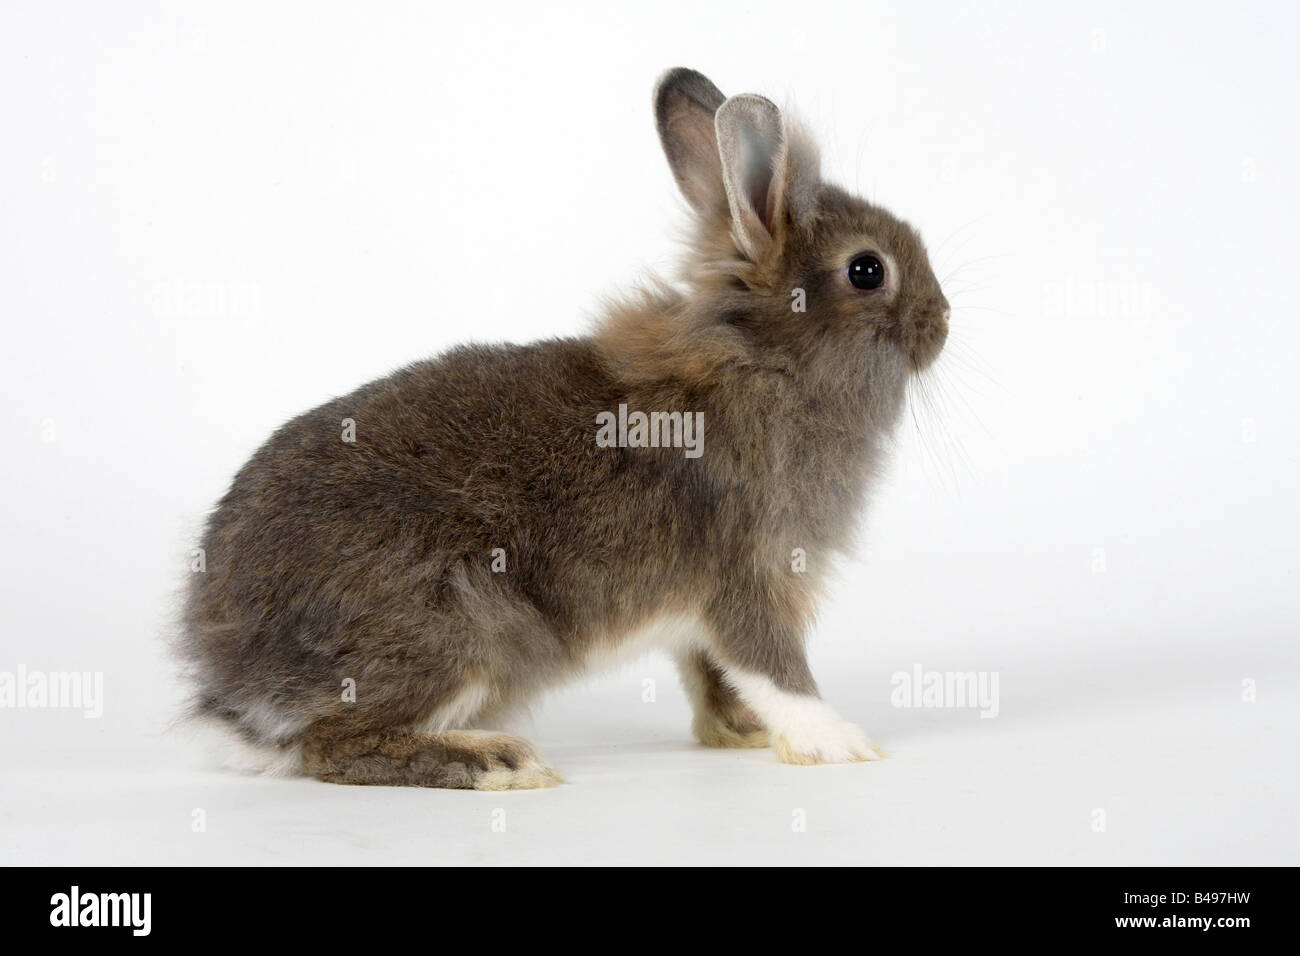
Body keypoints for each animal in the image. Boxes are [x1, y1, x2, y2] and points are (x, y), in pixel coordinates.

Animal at [178, 67, 950, 790]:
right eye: (867, 270)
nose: (942, 322)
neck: (762, 361)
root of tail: (226, 665)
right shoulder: (746, 572)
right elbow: (775, 667)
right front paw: (840, 743)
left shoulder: (707, 613)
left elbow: (709, 670)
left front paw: (743, 733)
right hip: (457, 634)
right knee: (332, 745)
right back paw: (499, 762)